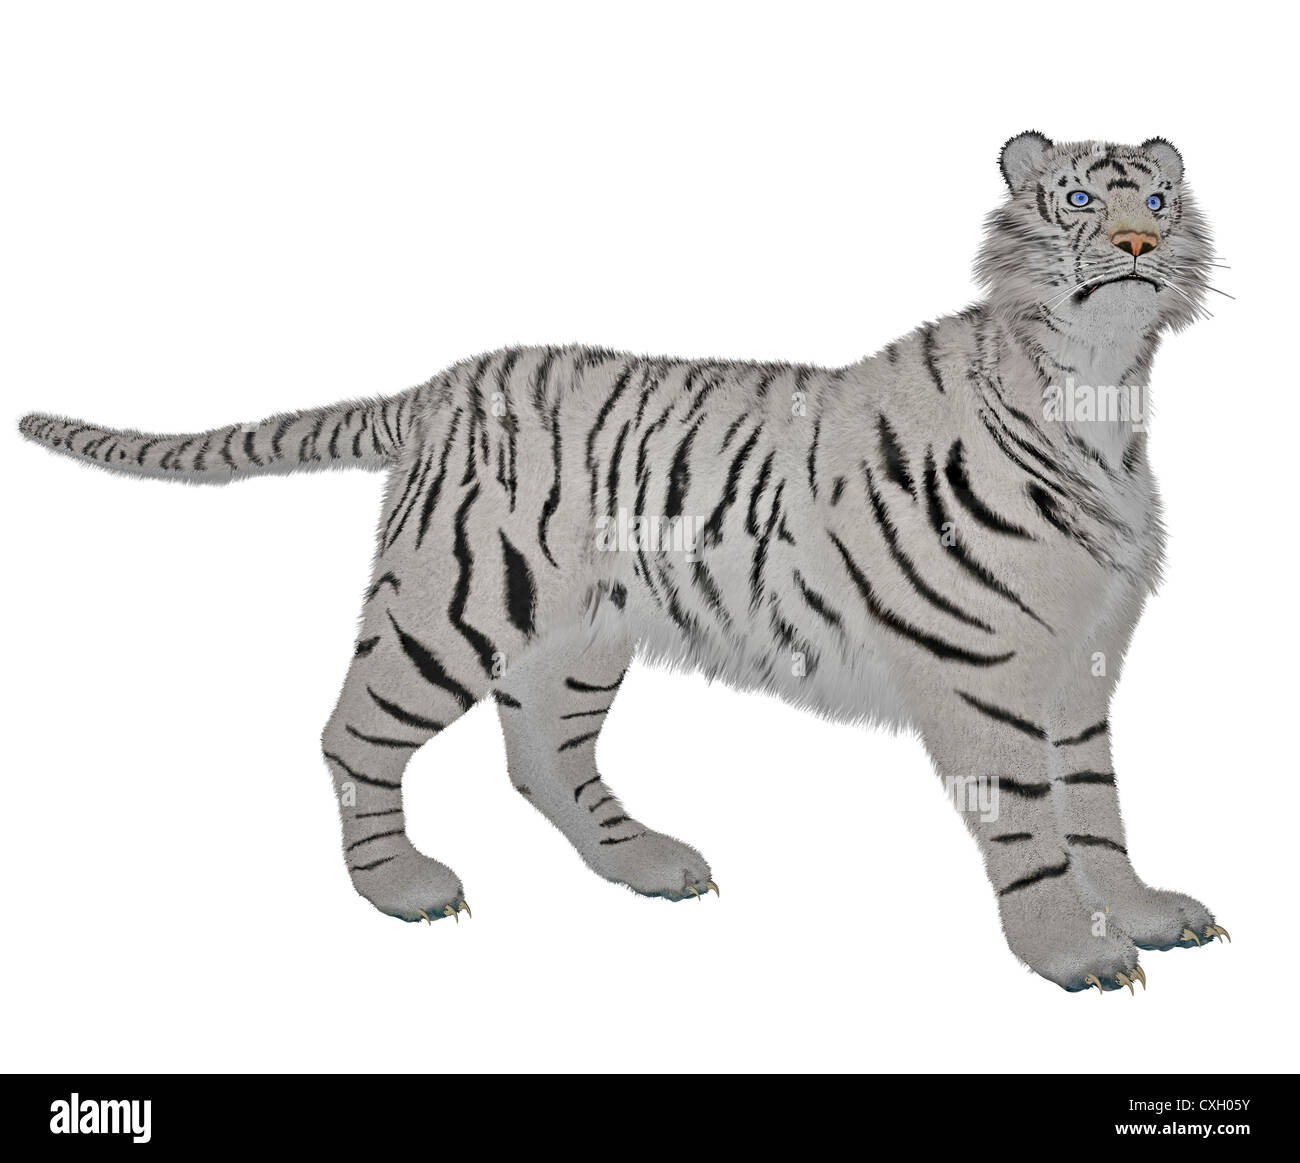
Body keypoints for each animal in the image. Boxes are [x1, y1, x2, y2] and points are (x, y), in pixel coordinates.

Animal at [18, 131, 1228, 993]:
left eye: (1158, 201)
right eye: (1081, 200)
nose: (1137, 246)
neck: (1102, 390)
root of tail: (435, 388)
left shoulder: (1079, 666)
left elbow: (1097, 805)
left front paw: (1143, 912)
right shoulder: (986, 674)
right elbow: (1033, 825)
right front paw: (1072, 951)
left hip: (577, 637)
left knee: (542, 758)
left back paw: (646, 864)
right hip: (444, 614)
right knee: (349, 735)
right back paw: (399, 886)